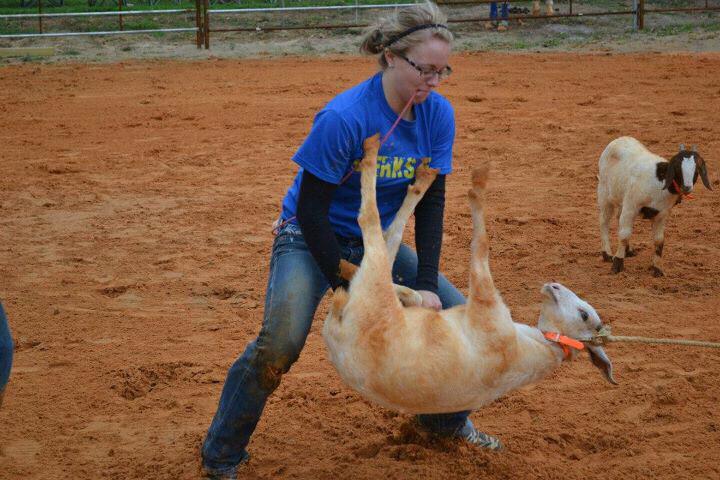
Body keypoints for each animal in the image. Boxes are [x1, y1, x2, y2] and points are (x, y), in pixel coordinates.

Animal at [323, 134, 615, 431]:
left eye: (584, 314)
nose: (552, 286)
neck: (536, 345)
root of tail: (338, 337)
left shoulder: (485, 301)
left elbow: (481, 247)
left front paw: (478, 189)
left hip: (375, 286)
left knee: (371, 223)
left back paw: (376, 155)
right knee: (388, 238)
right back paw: (422, 178)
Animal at [597, 137, 712, 276]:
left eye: (696, 169)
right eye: (677, 167)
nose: (687, 187)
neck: (660, 181)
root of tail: (619, 139)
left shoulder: (662, 214)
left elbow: (659, 241)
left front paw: (657, 269)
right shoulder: (631, 206)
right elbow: (624, 236)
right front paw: (617, 265)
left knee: (618, 218)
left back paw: (628, 251)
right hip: (604, 193)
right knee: (604, 222)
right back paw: (607, 254)